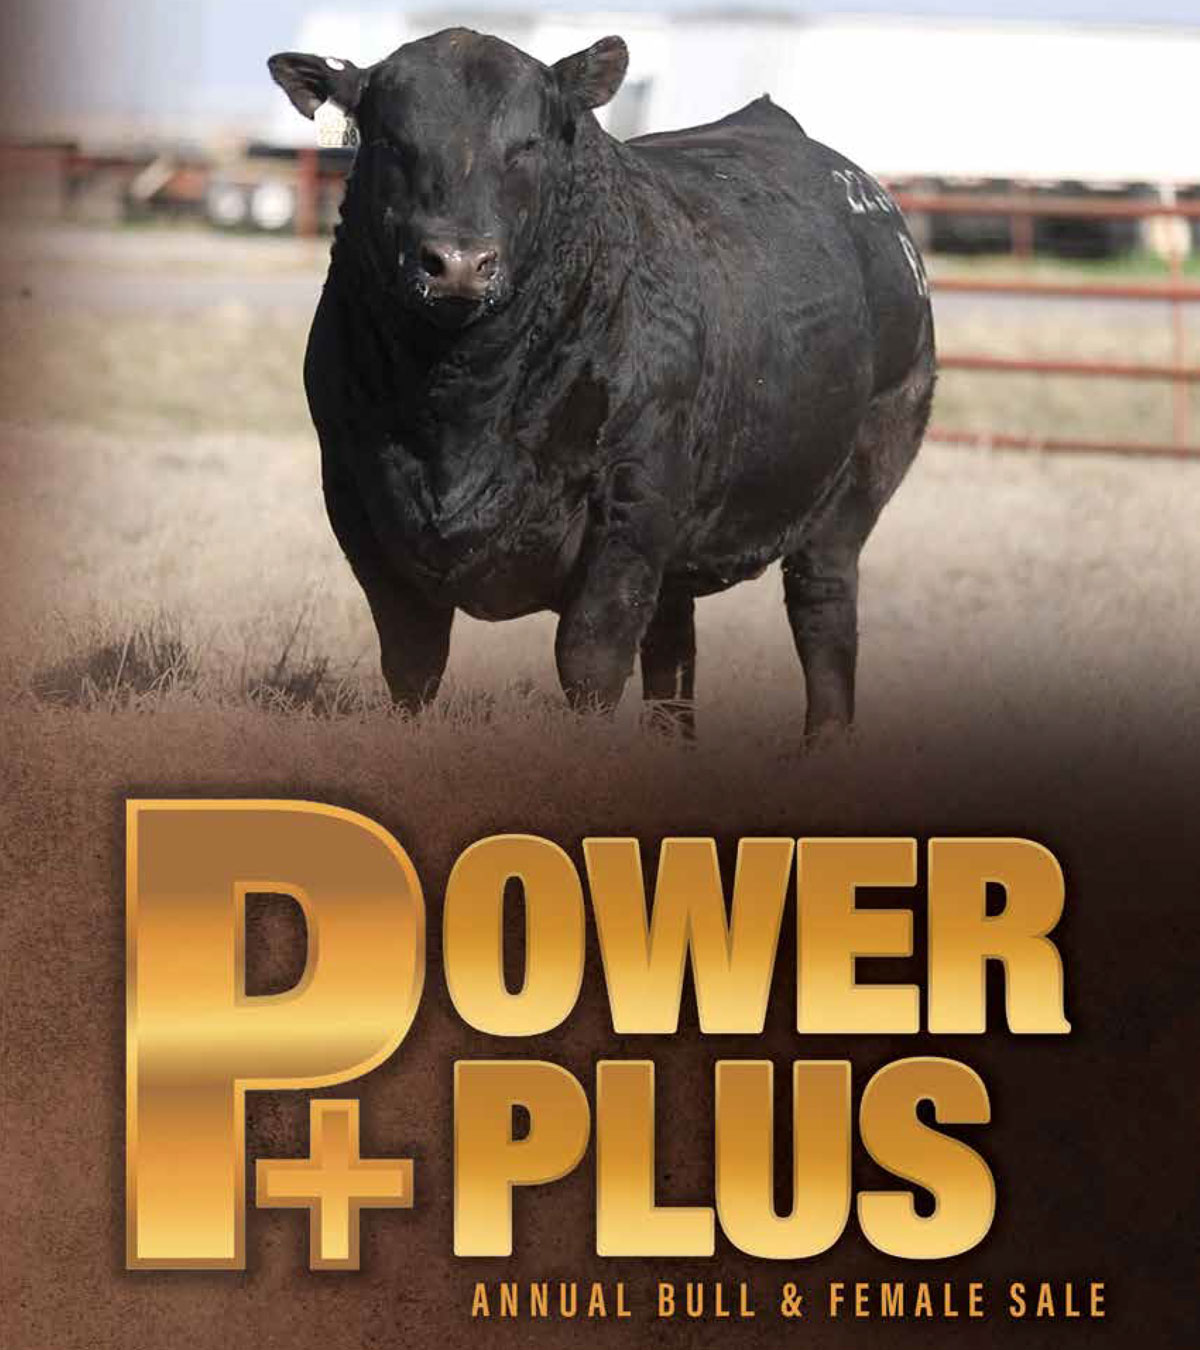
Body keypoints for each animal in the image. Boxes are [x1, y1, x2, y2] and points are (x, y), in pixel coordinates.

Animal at [268, 29, 935, 740]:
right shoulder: (353, 495)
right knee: (672, 640)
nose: (458, 263)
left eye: (529, 142)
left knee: (822, 602)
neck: (461, 404)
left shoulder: (631, 502)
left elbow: (589, 658)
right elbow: (412, 658)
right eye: (392, 140)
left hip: (861, 471)